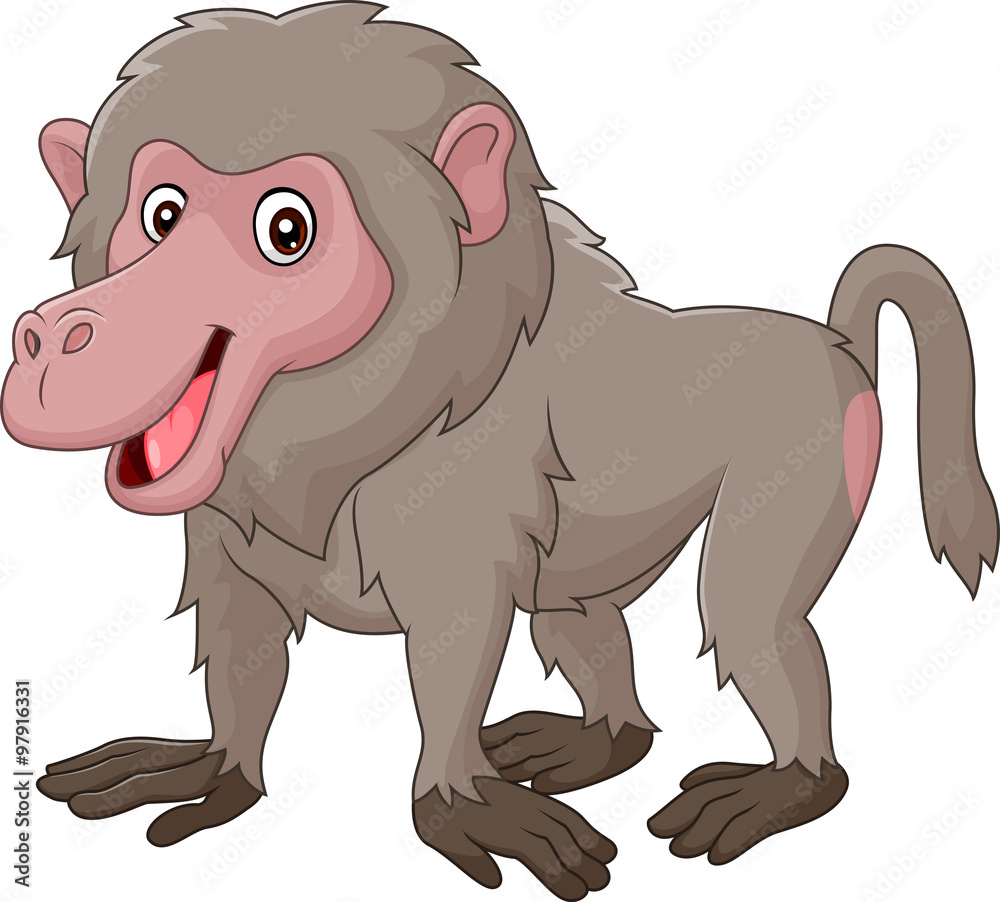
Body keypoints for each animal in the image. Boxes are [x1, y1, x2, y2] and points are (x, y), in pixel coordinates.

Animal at [2, 4, 996, 899]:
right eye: (161, 215)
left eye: (286, 230)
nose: (51, 339)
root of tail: (835, 345)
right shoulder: (223, 518)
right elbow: (246, 643)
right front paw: (215, 769)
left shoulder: (454, 511)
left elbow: (453, 653)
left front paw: (456, 803)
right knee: (580, 623)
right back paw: (597, 739)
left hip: (804, 448)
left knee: (751, 618)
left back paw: (787, 784)